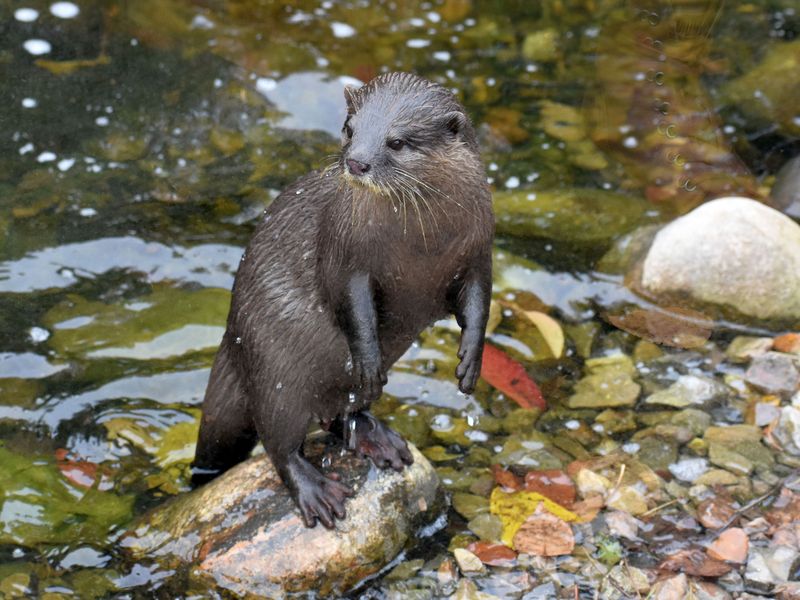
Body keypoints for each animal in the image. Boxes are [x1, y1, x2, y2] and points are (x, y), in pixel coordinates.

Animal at [192, 72, 494, 529]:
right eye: (349, 129)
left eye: (397, 141)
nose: (356, 162)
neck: (423, 242)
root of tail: (232, 340)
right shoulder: (345, 252)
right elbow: (351, 305)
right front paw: (367, 361)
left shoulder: (478, 249)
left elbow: (478, 303)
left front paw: (470, 361)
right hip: (273, 370)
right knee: (279, 444)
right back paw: (317, 491)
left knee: (340, 416)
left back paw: (379, 440)